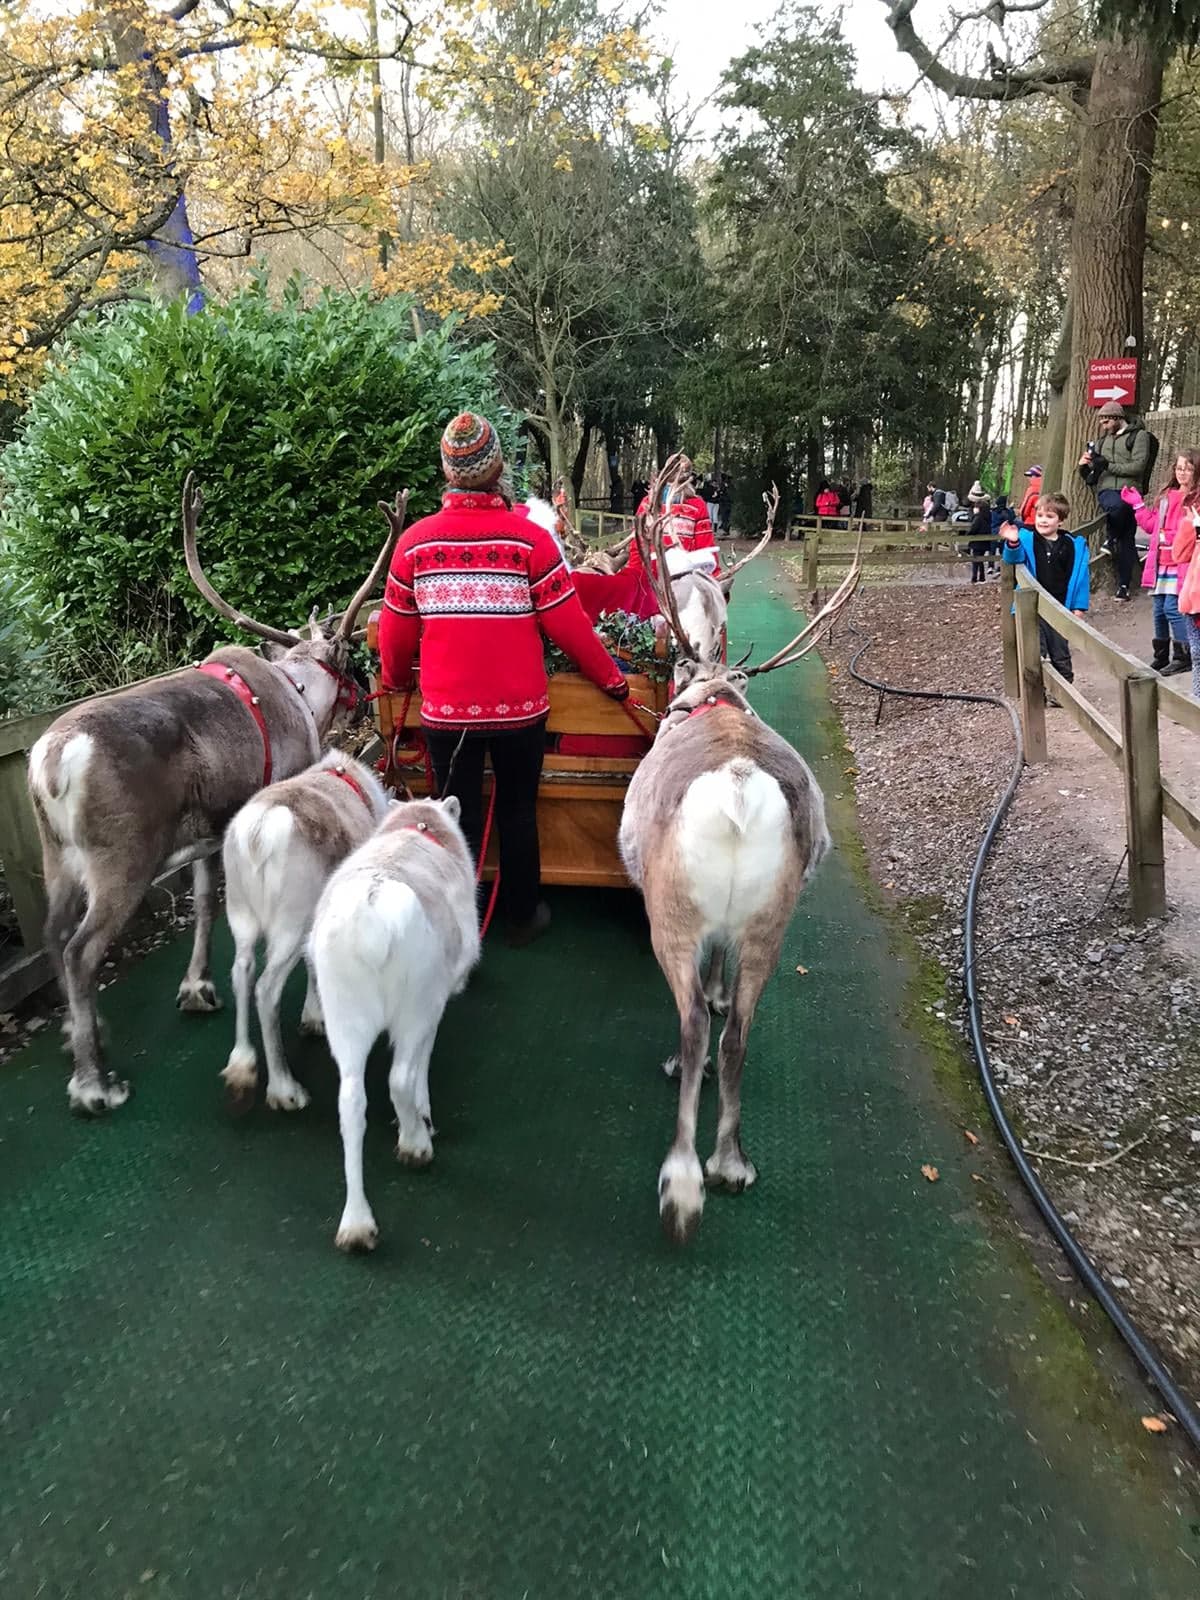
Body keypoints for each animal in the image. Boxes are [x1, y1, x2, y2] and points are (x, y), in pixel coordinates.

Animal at [220, 750, 392, 1113]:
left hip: (241, 915)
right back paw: (285, 1090)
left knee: (242, 971)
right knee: (266, 989)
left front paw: (314, 1017)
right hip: (291, 923)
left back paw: (241, 1069)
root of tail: (257, 834)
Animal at [618, 464, 861, 1244]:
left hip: (672, 915)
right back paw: (730, 1162)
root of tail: (736, 787)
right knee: (738, 1036)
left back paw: (683, 1181)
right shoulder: (736, 926)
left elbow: (701, 996)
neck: (716, 696)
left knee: (697, 1027)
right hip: (769, 922)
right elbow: (726, 995)